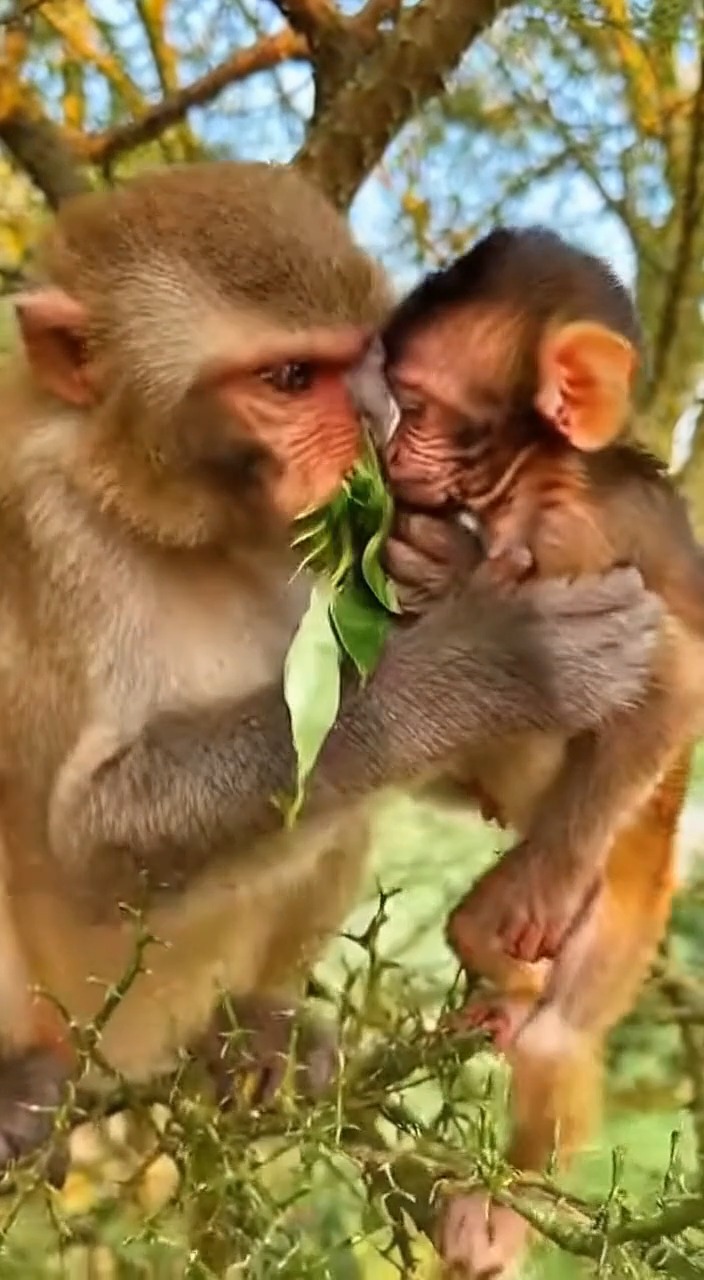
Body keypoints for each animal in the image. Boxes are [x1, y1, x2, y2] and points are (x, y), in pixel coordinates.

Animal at [0, 179, 661, 1186]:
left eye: (357, 363)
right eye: (286, 381)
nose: (369, 434)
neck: (171, 518)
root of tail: (126, 1056)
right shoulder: (46, 533)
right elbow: (89, 842)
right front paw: (496, 661)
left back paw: (253, 1028)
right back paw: (22, 1083)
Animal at [381, 226, 701, 1275]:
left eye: (421, 405)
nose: (388, 448)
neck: (534, 481)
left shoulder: (575, 536)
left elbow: (673, 677)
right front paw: (436, 566)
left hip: (619, 911)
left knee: (554, 1035)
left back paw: (504, 1204)